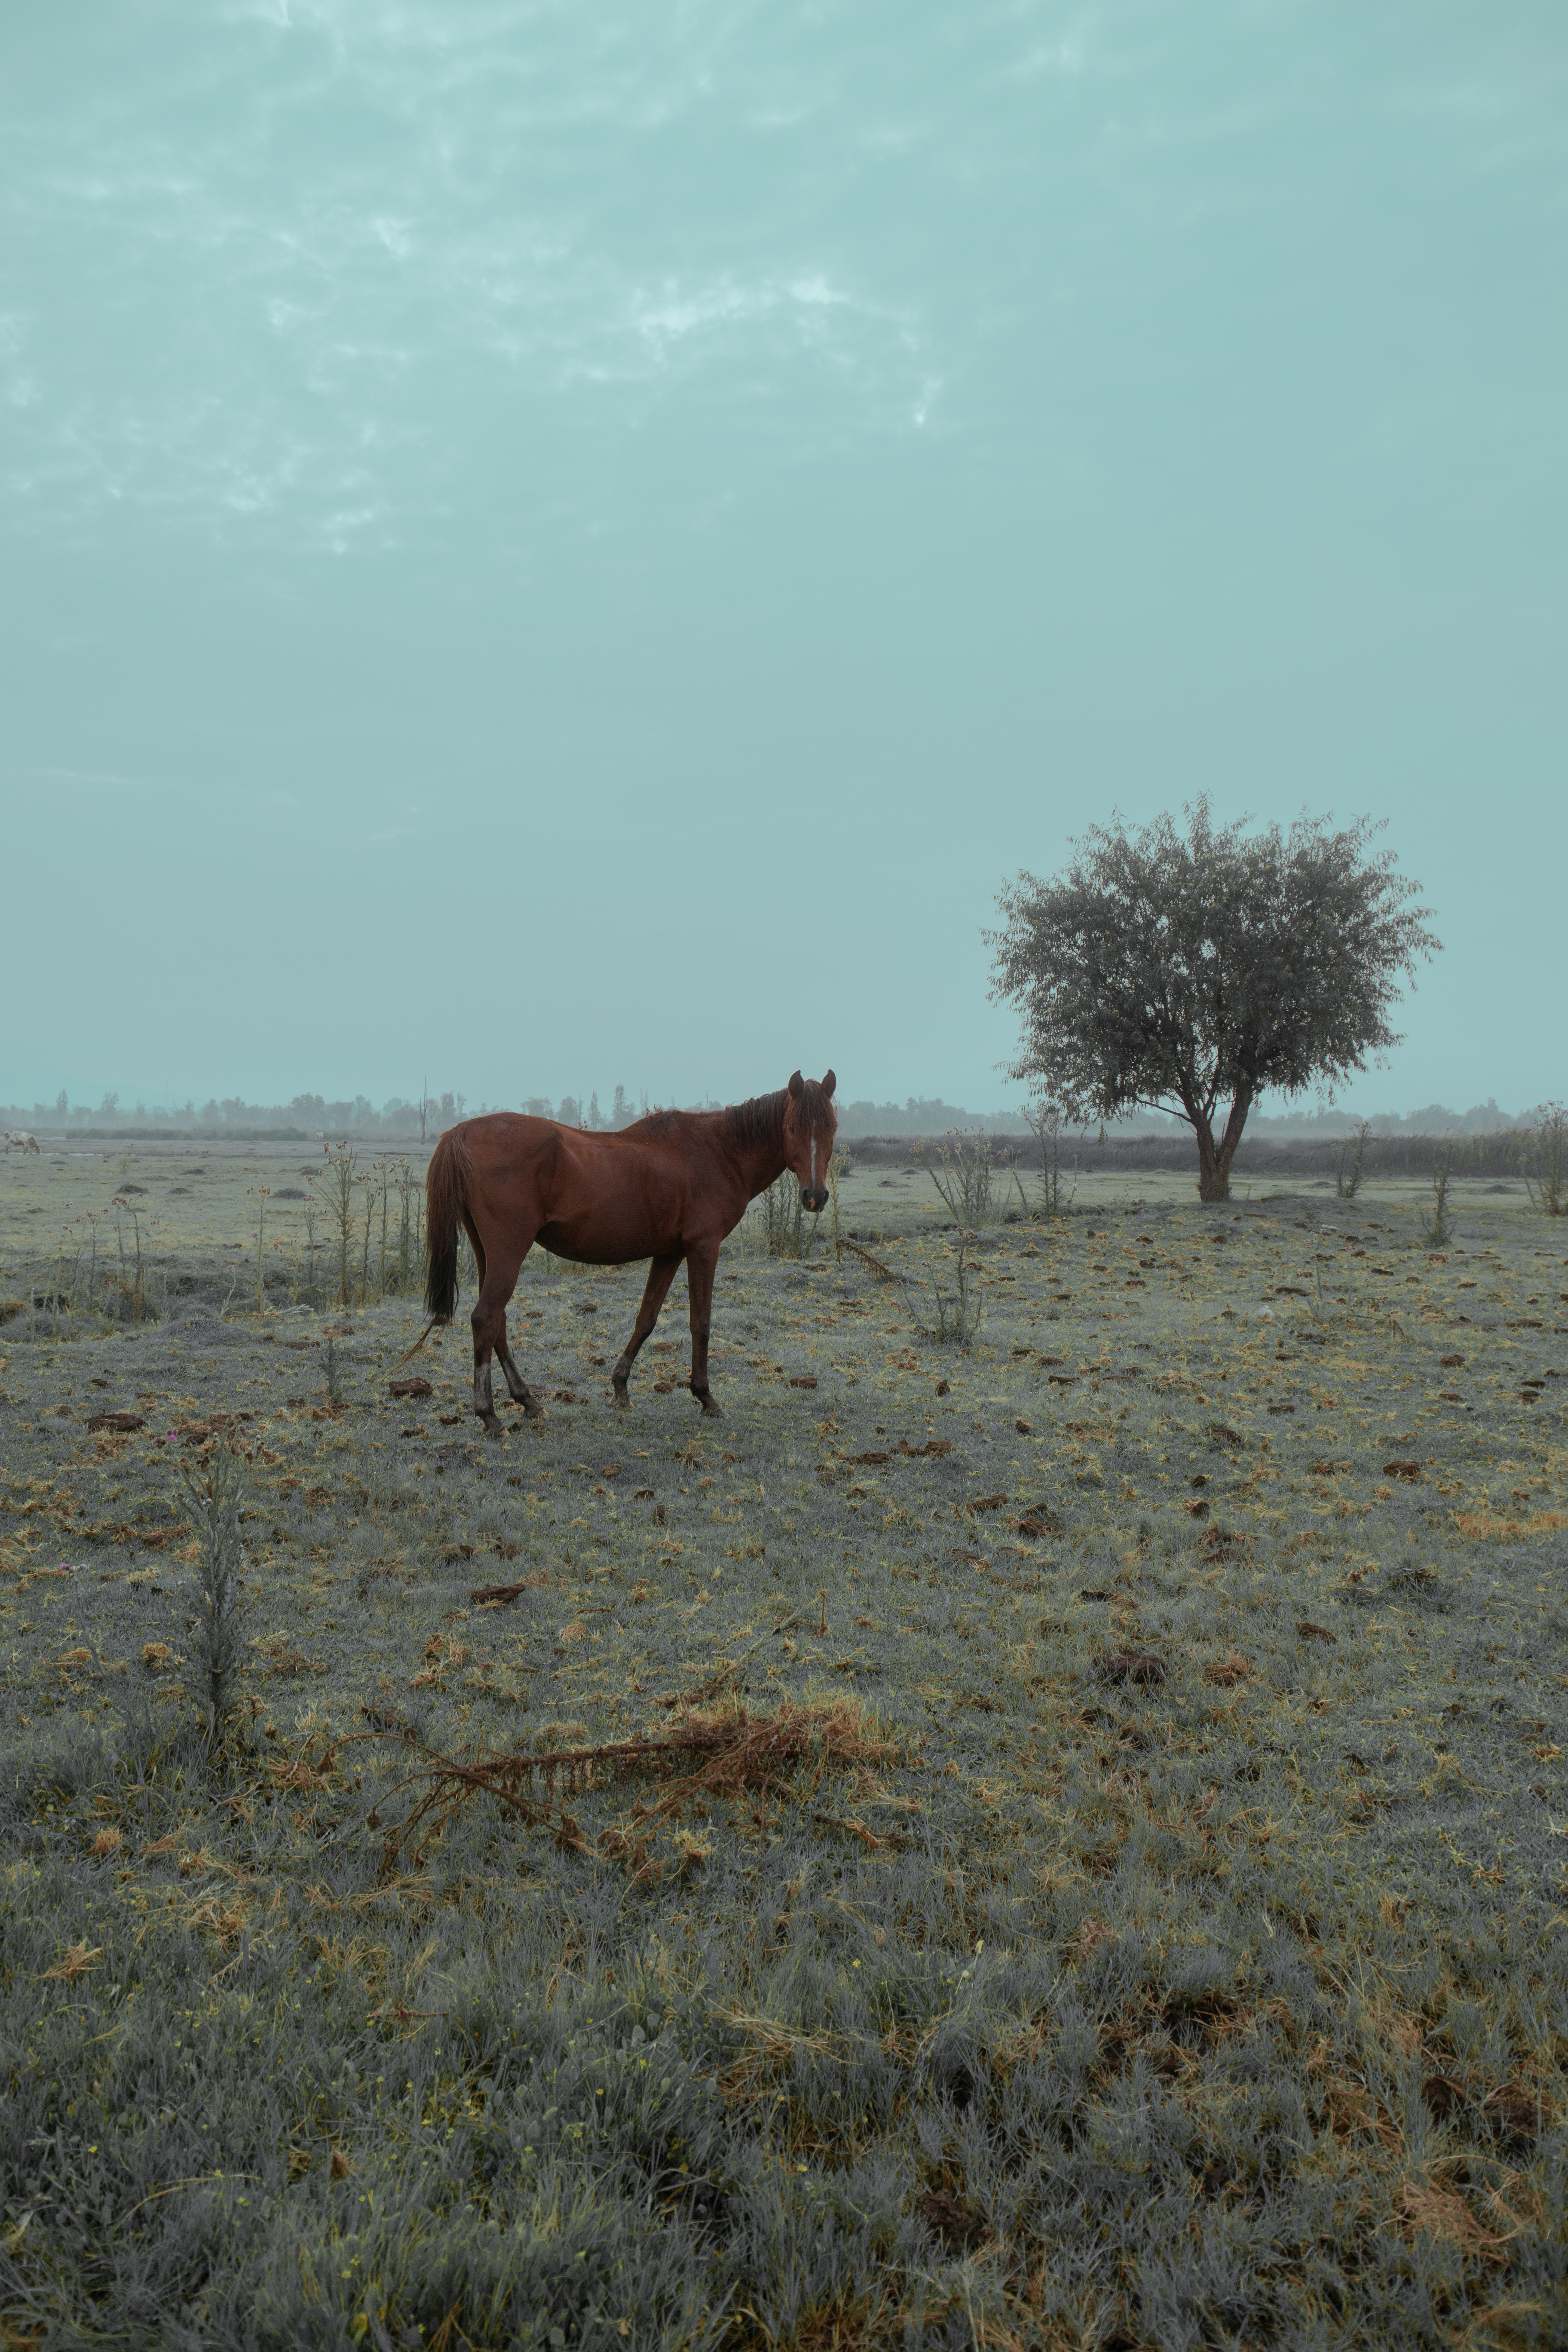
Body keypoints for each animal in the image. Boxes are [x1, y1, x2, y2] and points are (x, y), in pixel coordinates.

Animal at [423, 1070, 838, 1434]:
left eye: (831, 1127)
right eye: (792, 1128)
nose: (814, 1196)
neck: (717, 1152)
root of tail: (463, 1131)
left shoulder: (669, 1254)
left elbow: (646, 1320)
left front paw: (620, 1388)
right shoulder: (704, 1249)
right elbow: (700, 1323)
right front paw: (706, 1397)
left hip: (487, 1253)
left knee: (499, 1323)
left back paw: (528, 1401)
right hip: (509, 1252)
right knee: (486, 1319)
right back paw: (489, 1415)